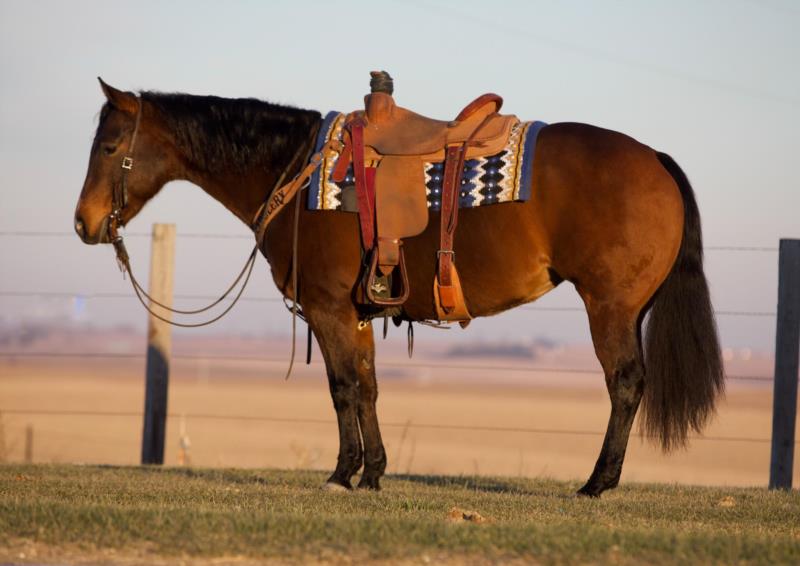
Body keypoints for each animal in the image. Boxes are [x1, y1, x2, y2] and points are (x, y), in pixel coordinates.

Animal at [74, 78, 724, 497]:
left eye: (108, 147)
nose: (83, 223)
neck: (294, 170)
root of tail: (655, 158)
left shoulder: (328, 310)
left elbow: (341, 389)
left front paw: (341, 475)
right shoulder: (357, 313)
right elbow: (368, 388)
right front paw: (373, 472)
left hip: (610, 307)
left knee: (625, 384)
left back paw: (597, 483)